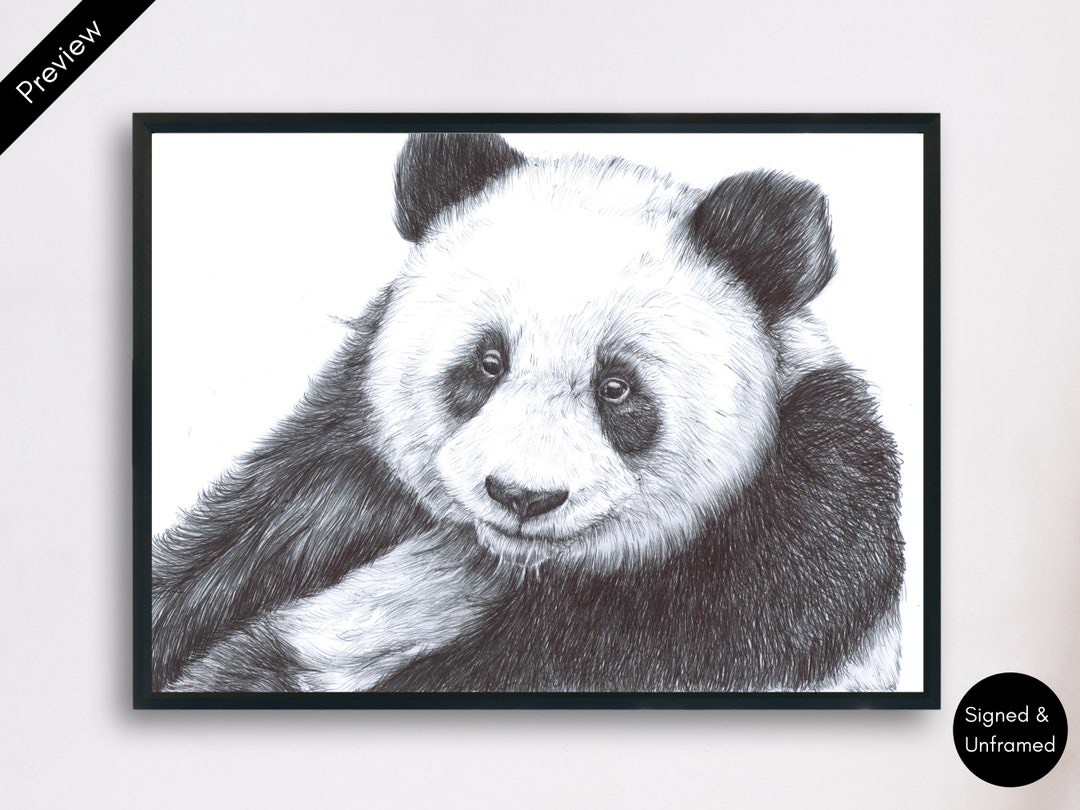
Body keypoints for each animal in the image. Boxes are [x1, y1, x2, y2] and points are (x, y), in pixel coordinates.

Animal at [152, 132, 904, 693]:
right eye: (488, 363)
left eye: (616, 388)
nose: (521, 495)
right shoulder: (341, 460)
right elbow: (238, 545)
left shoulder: (785, 548)